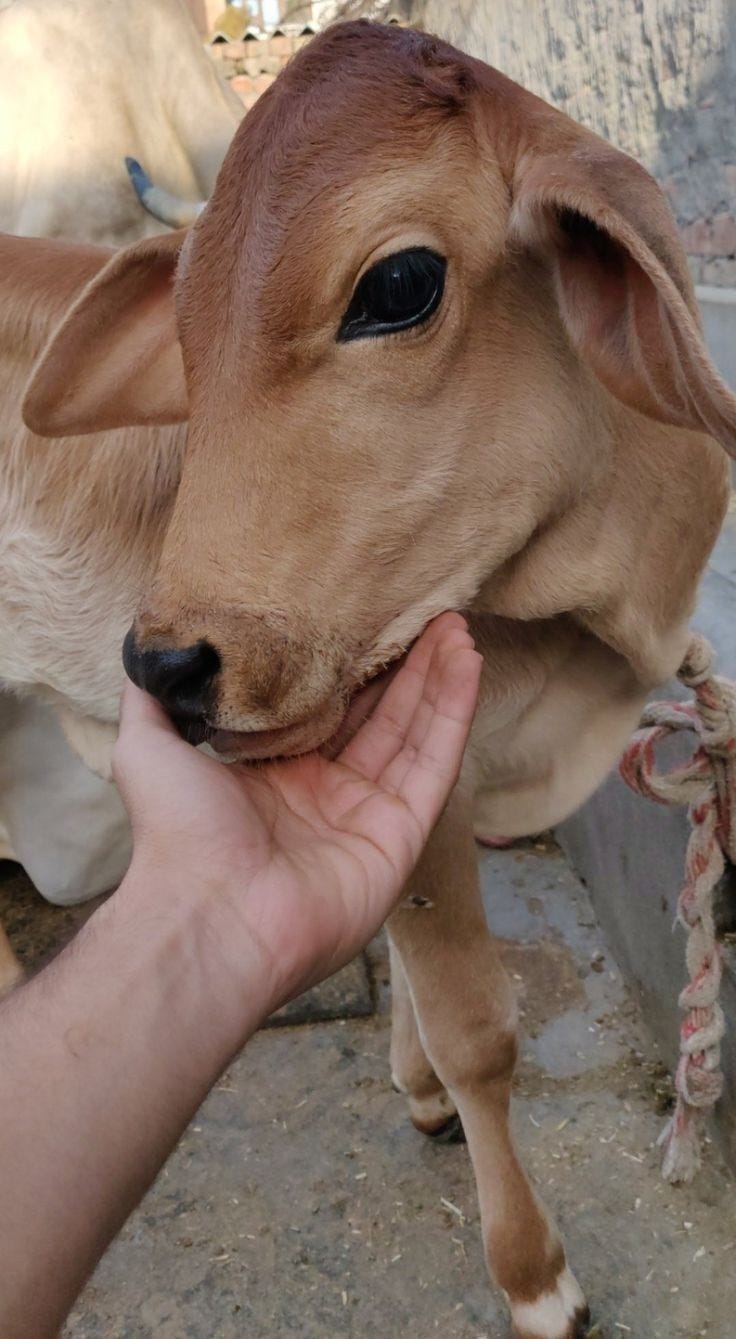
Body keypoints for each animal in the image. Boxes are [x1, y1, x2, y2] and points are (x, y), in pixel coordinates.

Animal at [3, 19, 736, 1339]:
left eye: (396, 288)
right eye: (185, 327)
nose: (165, 665)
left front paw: (416, 1089)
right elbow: (477, 1031)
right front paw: (535, 1274)